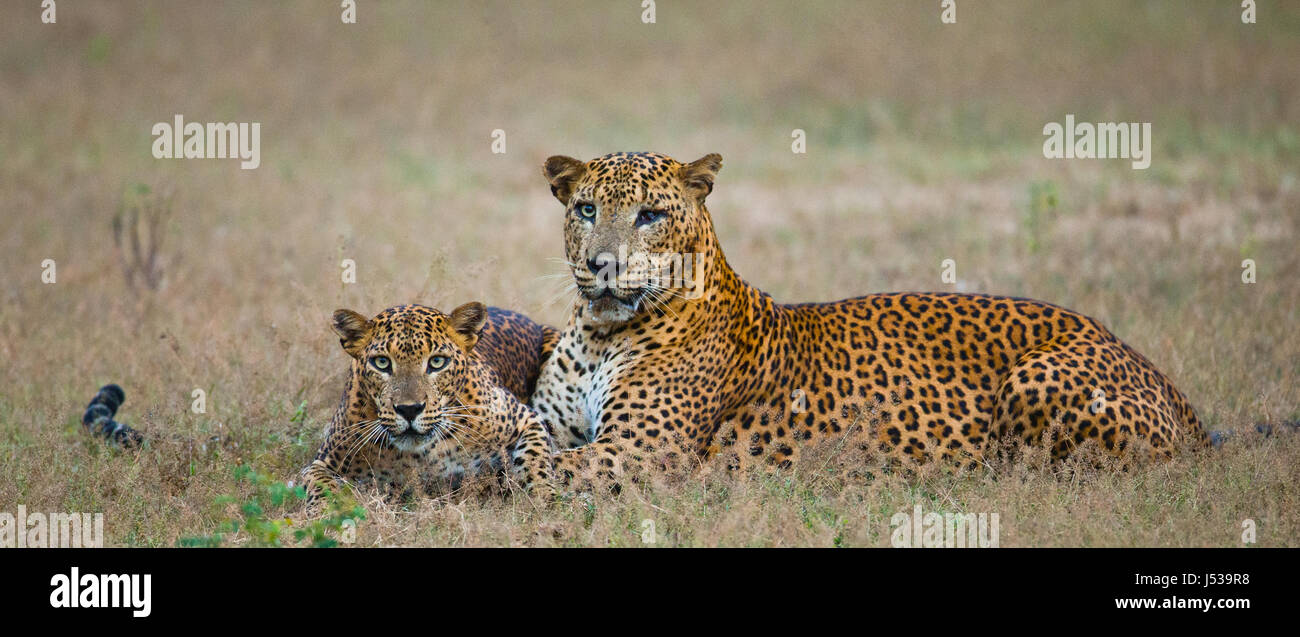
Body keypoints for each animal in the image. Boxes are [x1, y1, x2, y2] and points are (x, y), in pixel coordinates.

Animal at [530, 150, 1213, 488]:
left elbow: (533, 468)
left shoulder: (642, 452)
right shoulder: (561, 425)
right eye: (586, 210)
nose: (603, 265)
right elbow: (532, 447)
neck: (600, 335)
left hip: (1034, 383)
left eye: (649, 215)